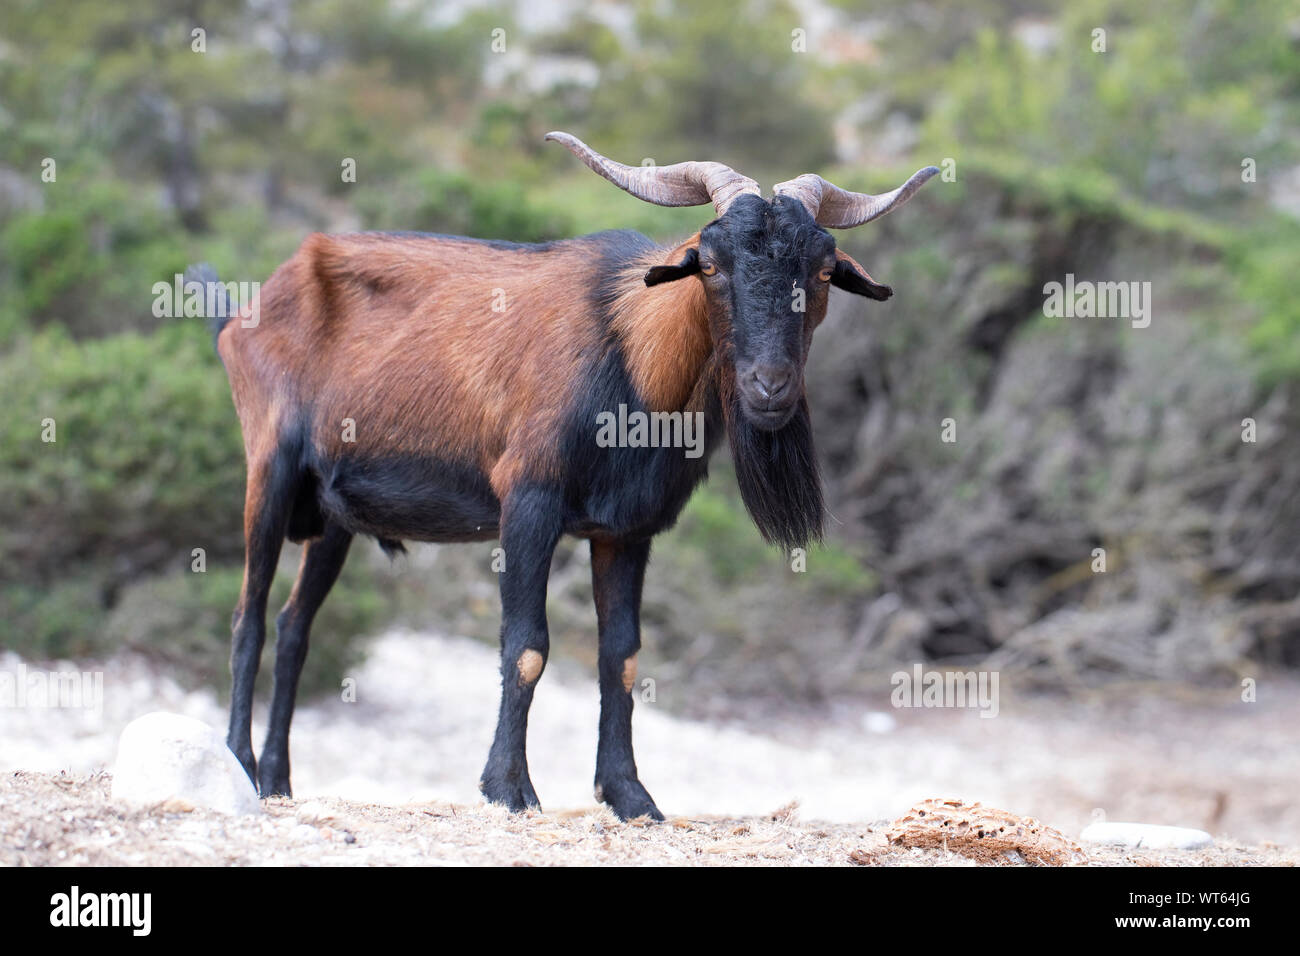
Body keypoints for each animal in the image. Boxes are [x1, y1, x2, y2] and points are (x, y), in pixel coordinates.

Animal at [207, 133, 937, 820]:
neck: (631, 355)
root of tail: (252, 302)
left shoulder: (627, 530)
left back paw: (278, 782)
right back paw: (239, 765)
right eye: (709, 263)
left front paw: (630, 795)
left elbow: (622, 656)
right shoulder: (529, 504)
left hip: (333, 518)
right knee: (247, 617)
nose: (769, 387)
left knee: (294, 628)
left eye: (823, 270)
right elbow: (526, 646)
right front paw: (508, 788)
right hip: (269, 471)